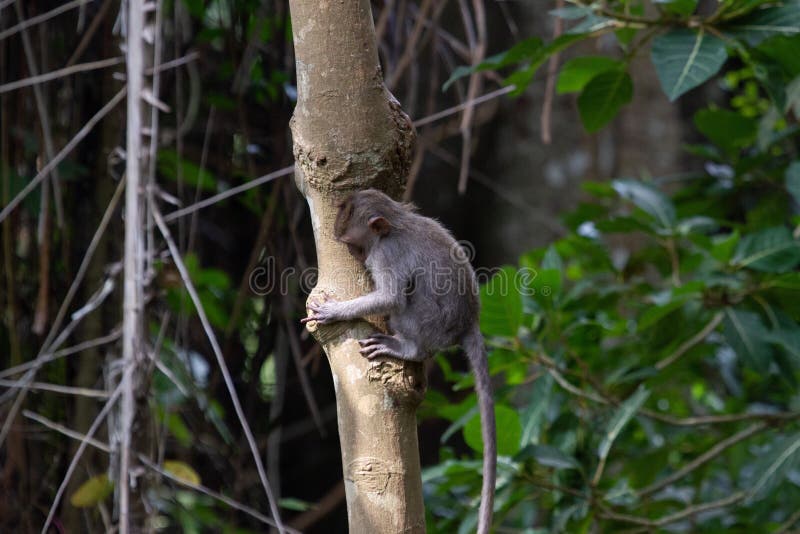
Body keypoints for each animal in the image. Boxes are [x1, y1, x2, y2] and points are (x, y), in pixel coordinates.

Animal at [301, 189, 496, 534]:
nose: (355, 254)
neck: (394, 224)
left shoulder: (385, 255)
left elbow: (389, 297)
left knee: (407, 302)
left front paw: (334, 312)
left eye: (353, 242)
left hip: (430, 323)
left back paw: (407, 348)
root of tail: (469, 322)